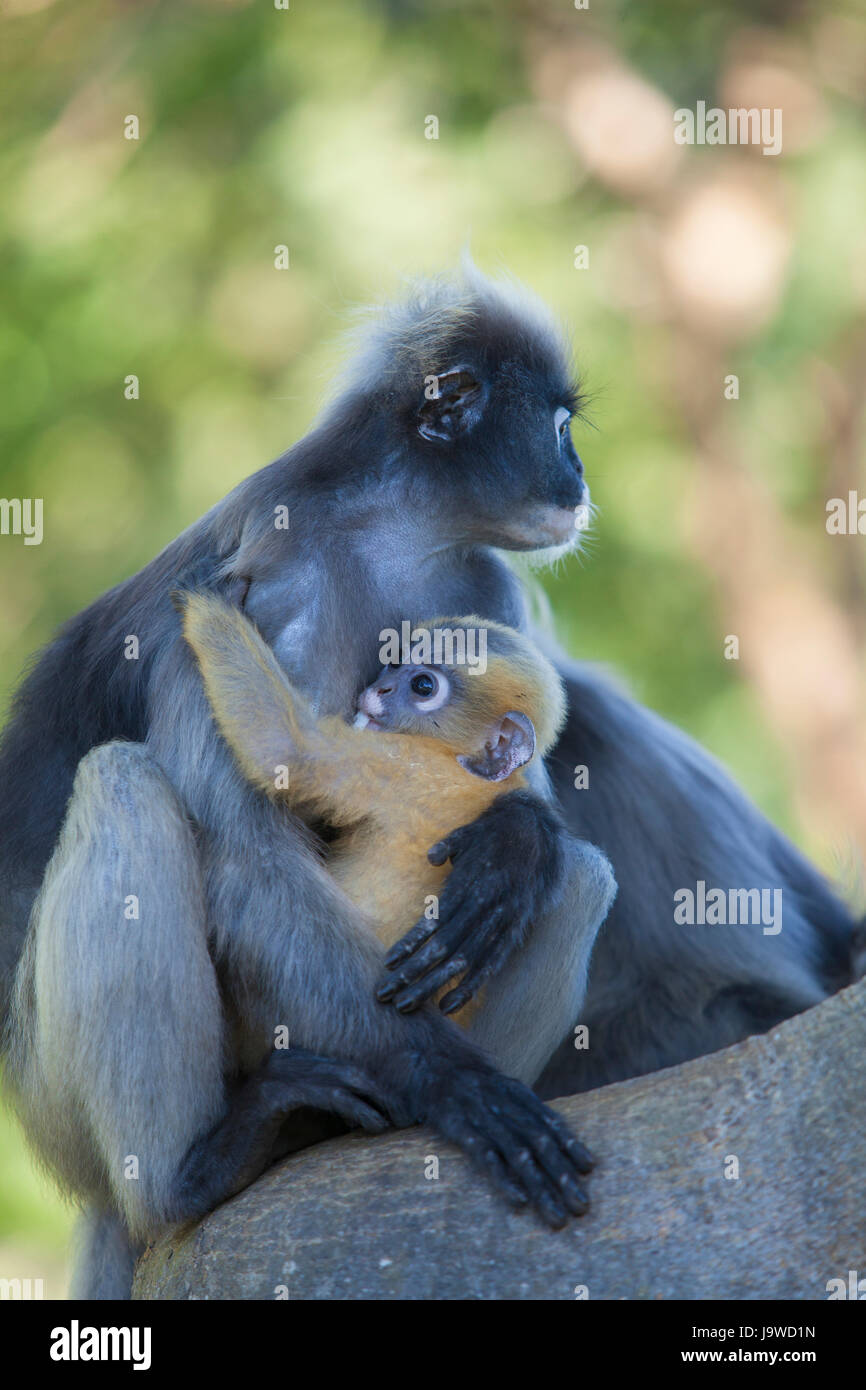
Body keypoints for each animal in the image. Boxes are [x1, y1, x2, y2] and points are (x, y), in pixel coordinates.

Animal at [179, 593, 567, 1017]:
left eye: (423, 685)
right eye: (395, 662)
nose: (381, 689)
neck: (461, 762)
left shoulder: (410, 767)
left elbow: (288, 751)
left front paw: (202, 603)